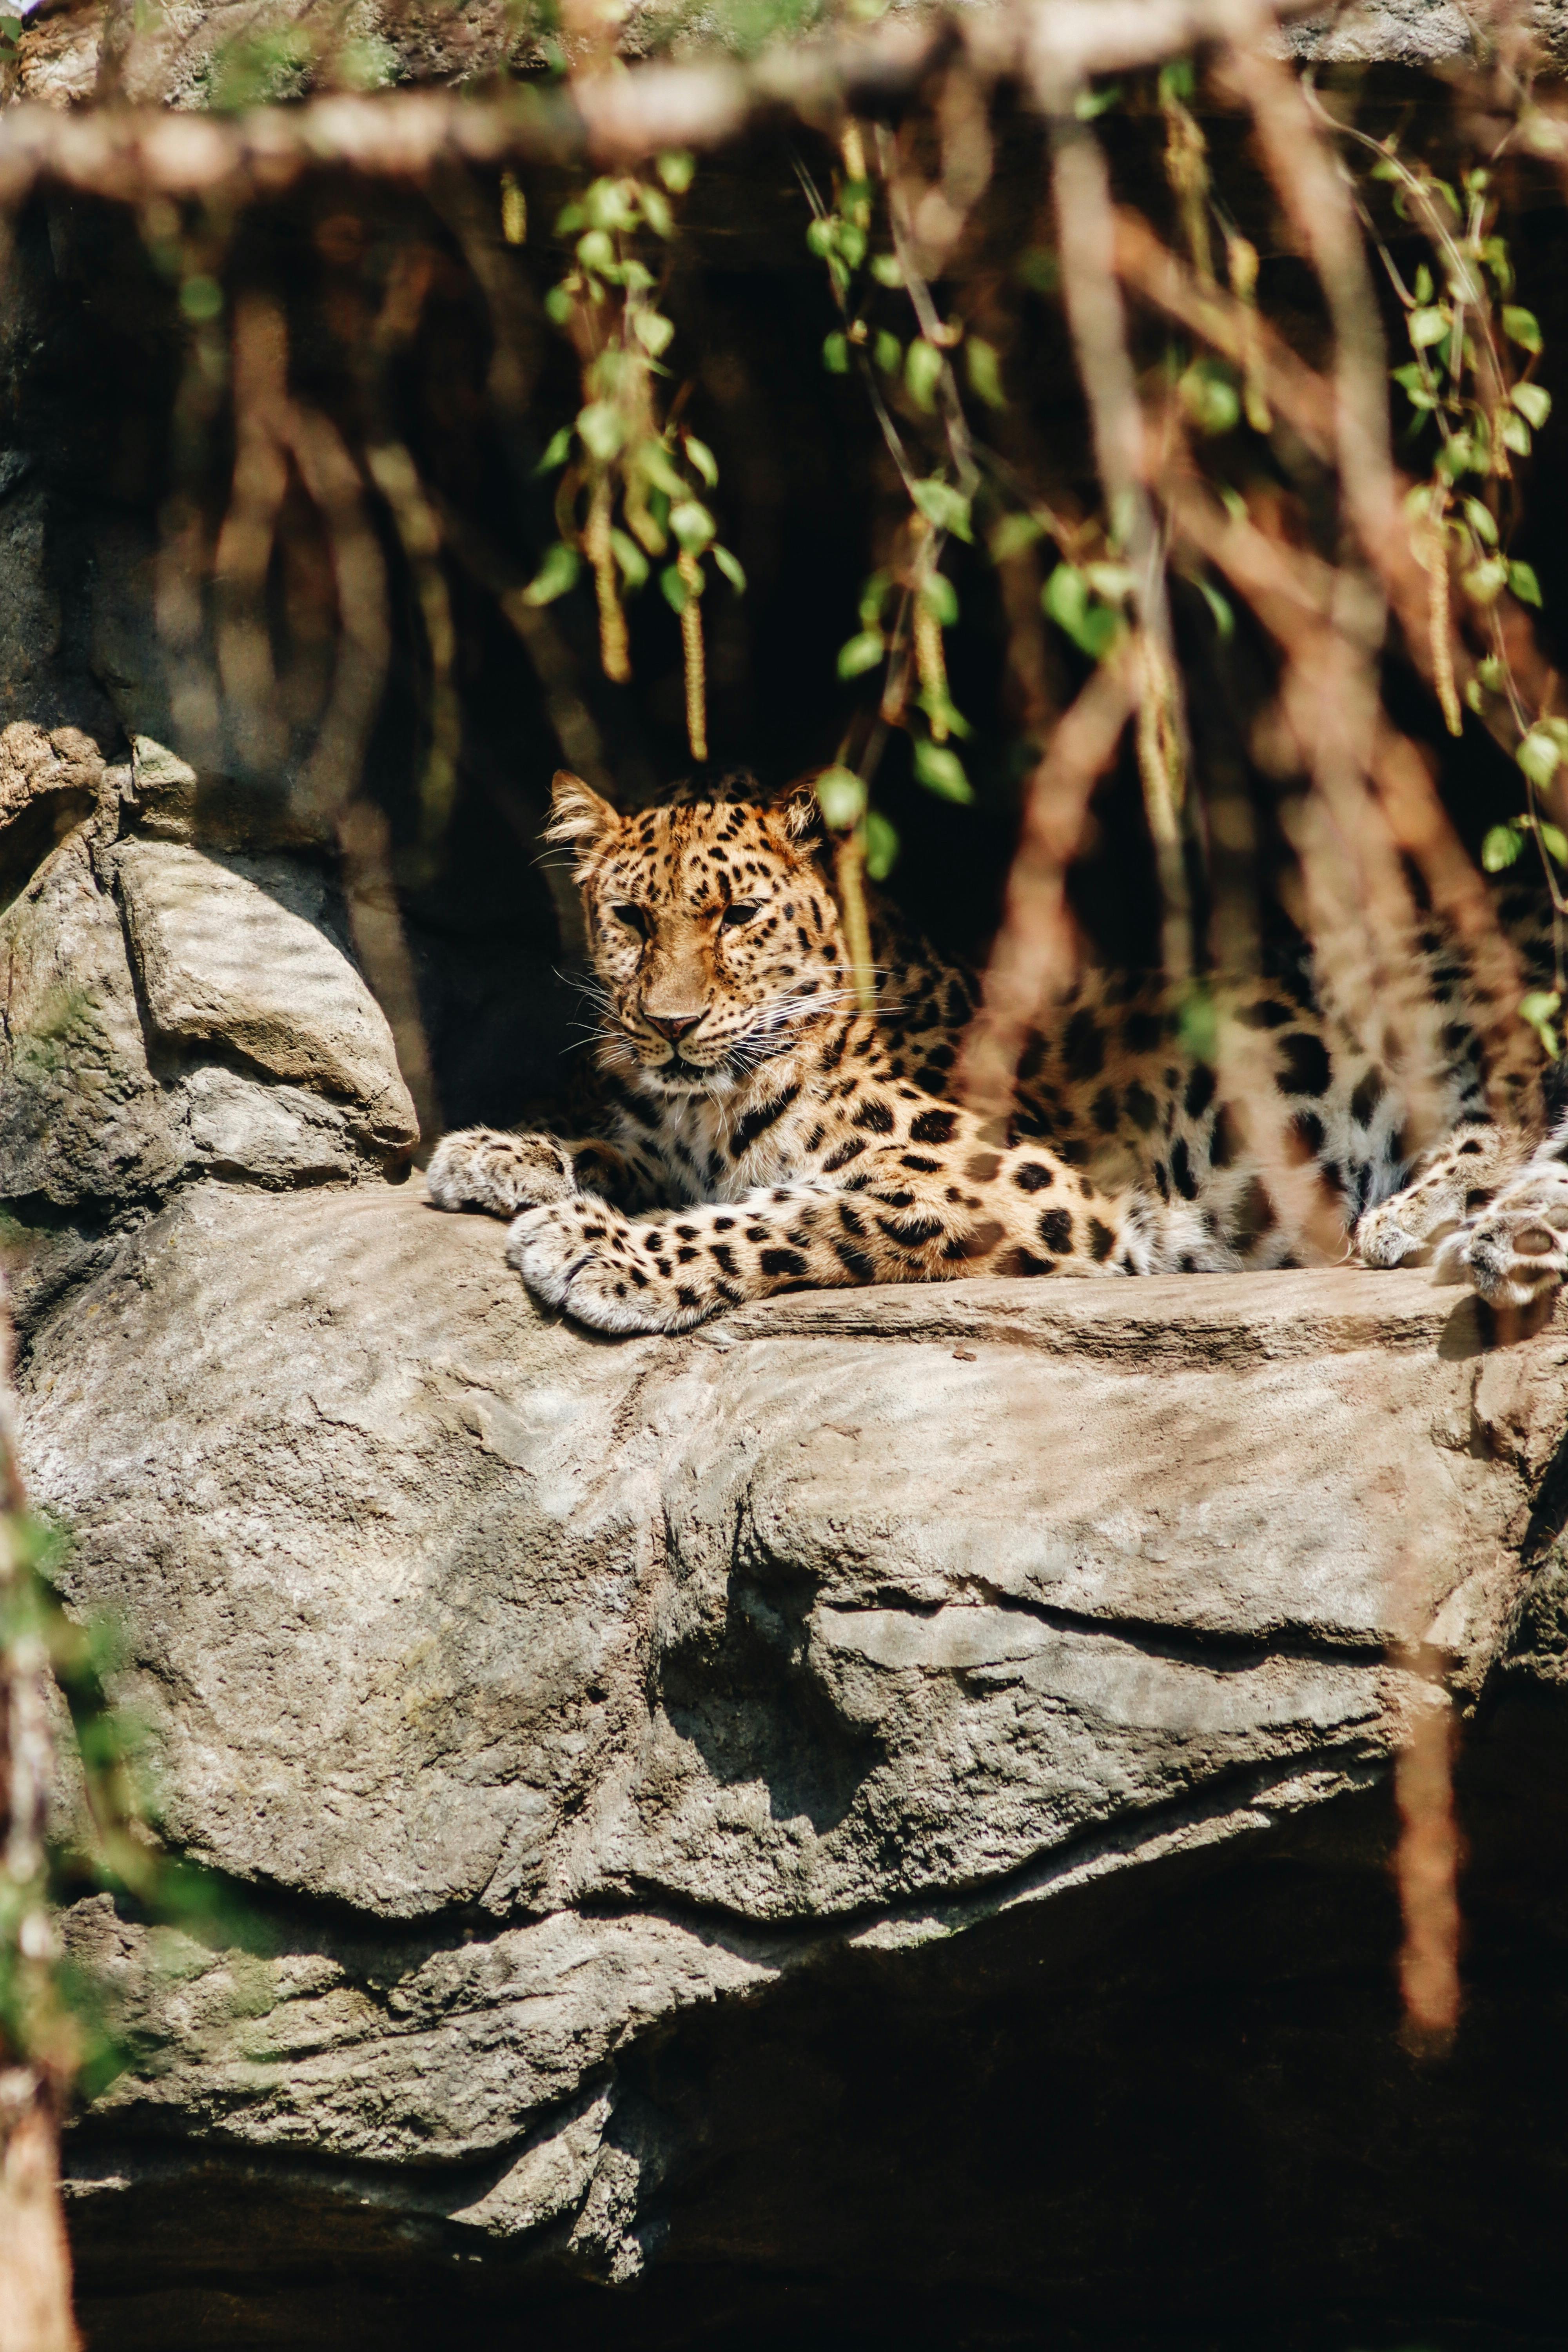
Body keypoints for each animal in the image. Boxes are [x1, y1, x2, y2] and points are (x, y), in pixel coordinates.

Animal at [425, 767, 1568, 1335]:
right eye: (630, 918)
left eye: (737, 917)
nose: (667, 1022)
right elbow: (632, 1150)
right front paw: (498, 1149)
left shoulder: (1008, 1181)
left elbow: (787, 1212)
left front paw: (598, 1248)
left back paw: (1434, 1223)